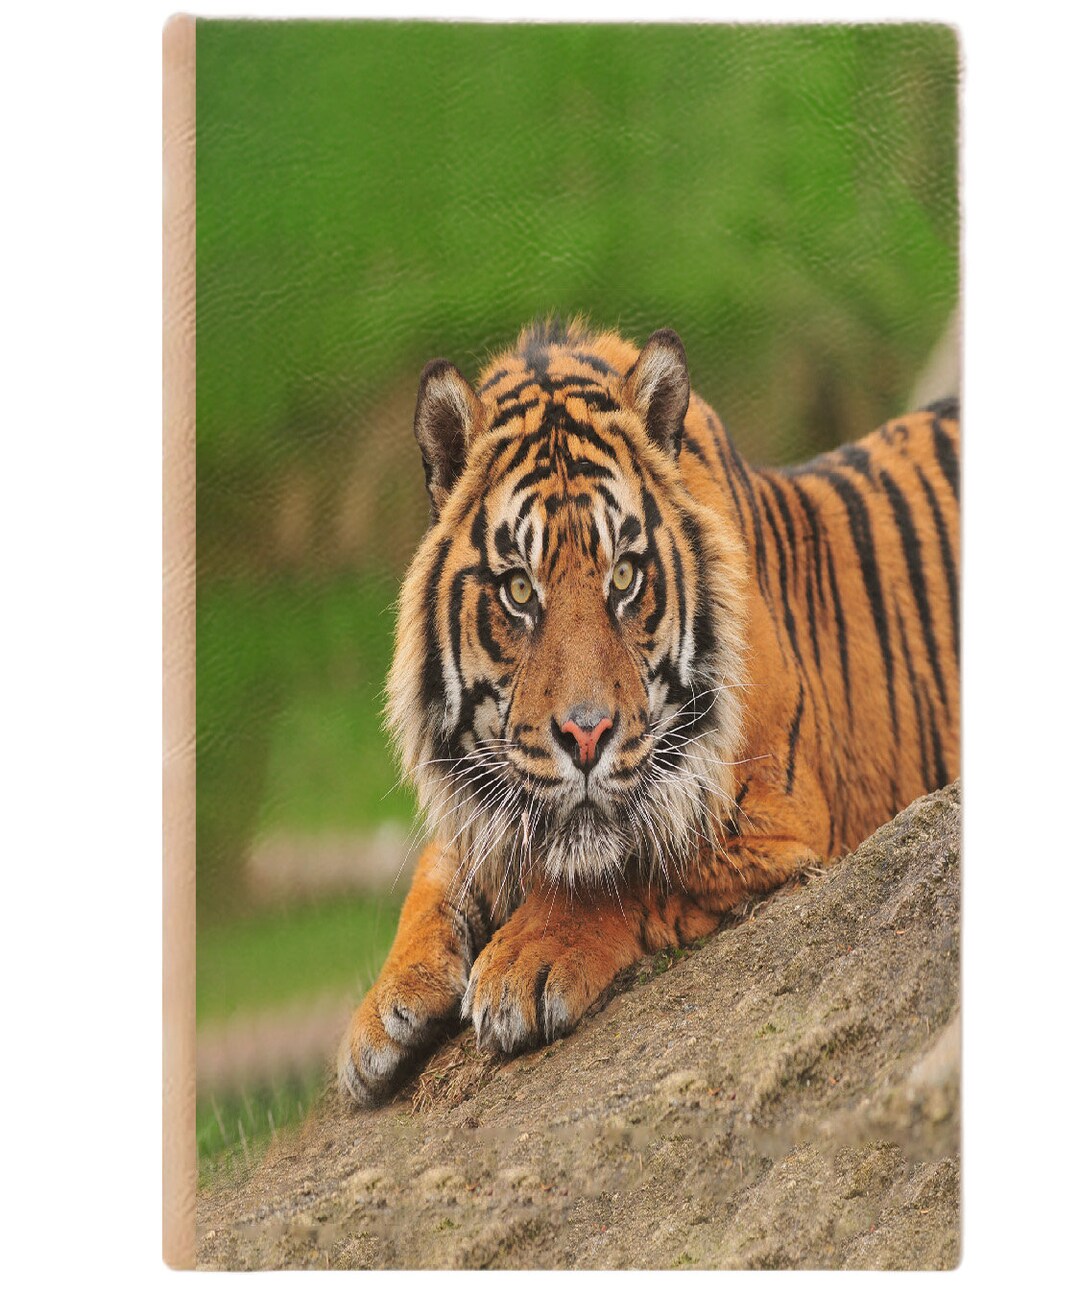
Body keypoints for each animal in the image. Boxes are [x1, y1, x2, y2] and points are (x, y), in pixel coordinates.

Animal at [338, 317, 959, 1106]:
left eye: (626, 577)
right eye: (519, 590)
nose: (587, 735)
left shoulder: (771, 815)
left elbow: (628, 866)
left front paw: (522, 964)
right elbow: (440, 867)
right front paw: (383, 1012)